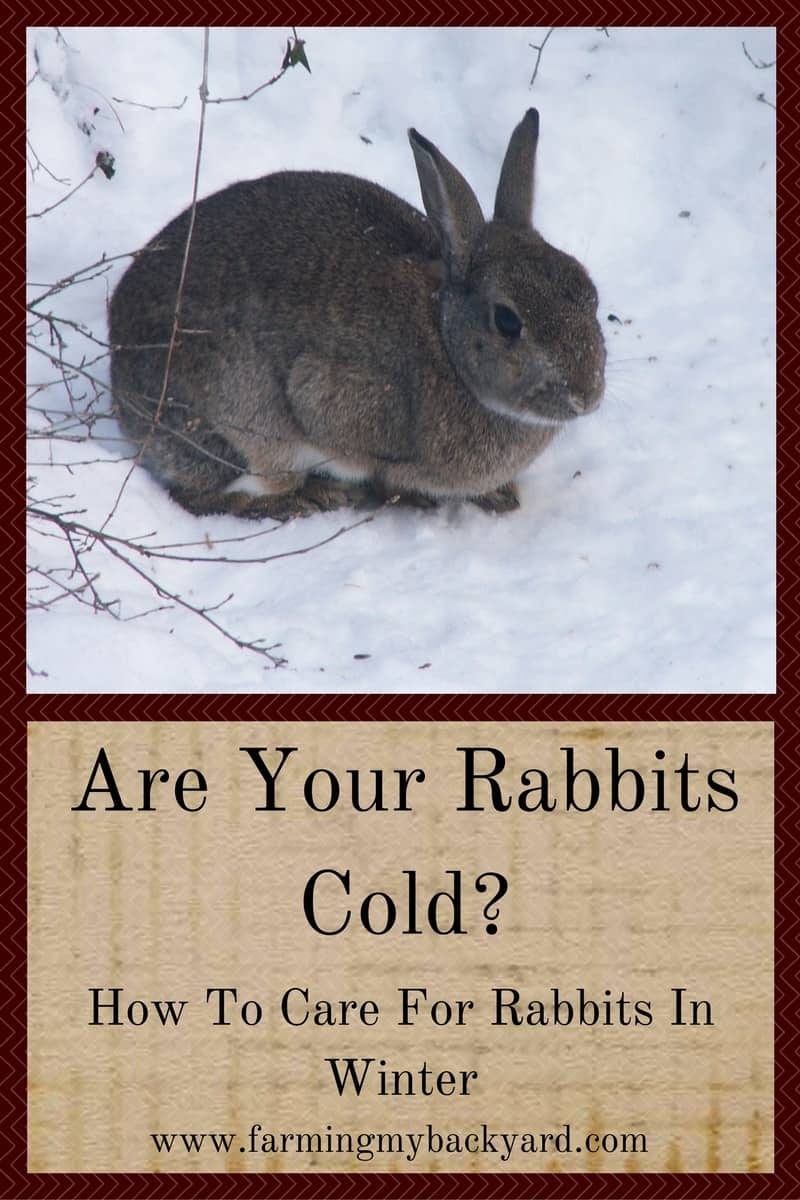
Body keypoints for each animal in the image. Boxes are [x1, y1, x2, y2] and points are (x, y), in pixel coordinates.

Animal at [109, 108, 605, 519]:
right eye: (507, 321)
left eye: (589, 291)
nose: (588, 395)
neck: (445, 340)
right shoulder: (325, 394)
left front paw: (497, 496)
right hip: (240, 426)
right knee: (205, 492)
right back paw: (302, 500)